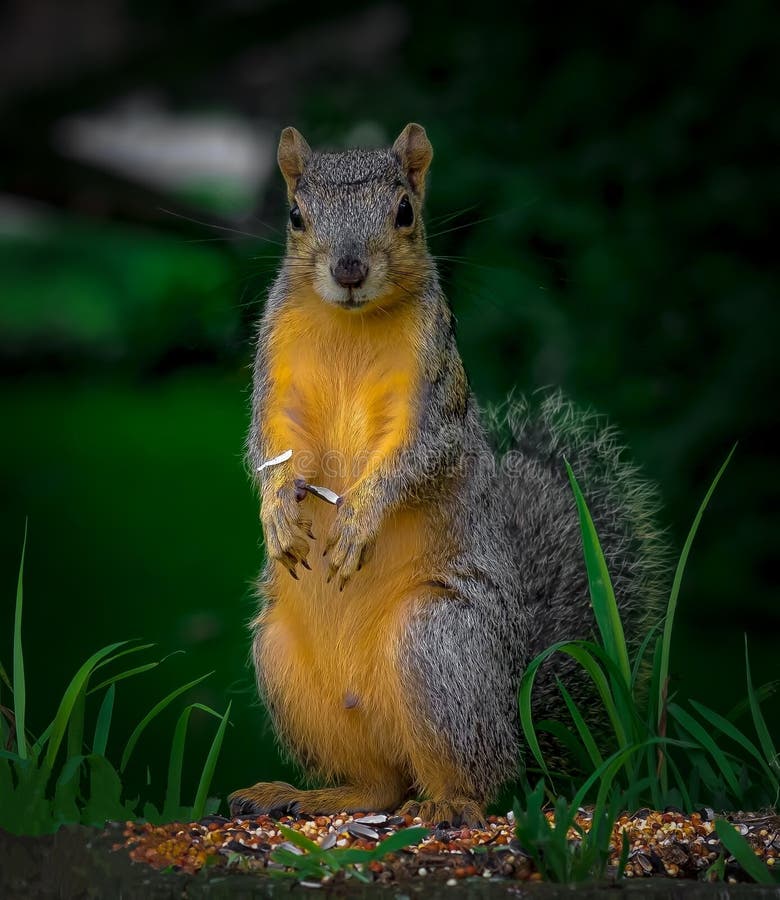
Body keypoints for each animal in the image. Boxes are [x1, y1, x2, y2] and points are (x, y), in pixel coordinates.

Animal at [228, 124, 666, 826]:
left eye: (405, 212)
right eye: (295, 216)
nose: (348, 270)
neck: (348, 323)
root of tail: (512, 709)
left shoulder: (435, 396)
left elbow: (417, 456)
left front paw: (357, 521)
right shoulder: (275, 375)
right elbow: (266, 448)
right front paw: (277, 515)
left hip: (437, 647)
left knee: (475, 777)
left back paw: (452, 803)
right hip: (282, 661)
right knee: (379, 786)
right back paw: (304, 794)